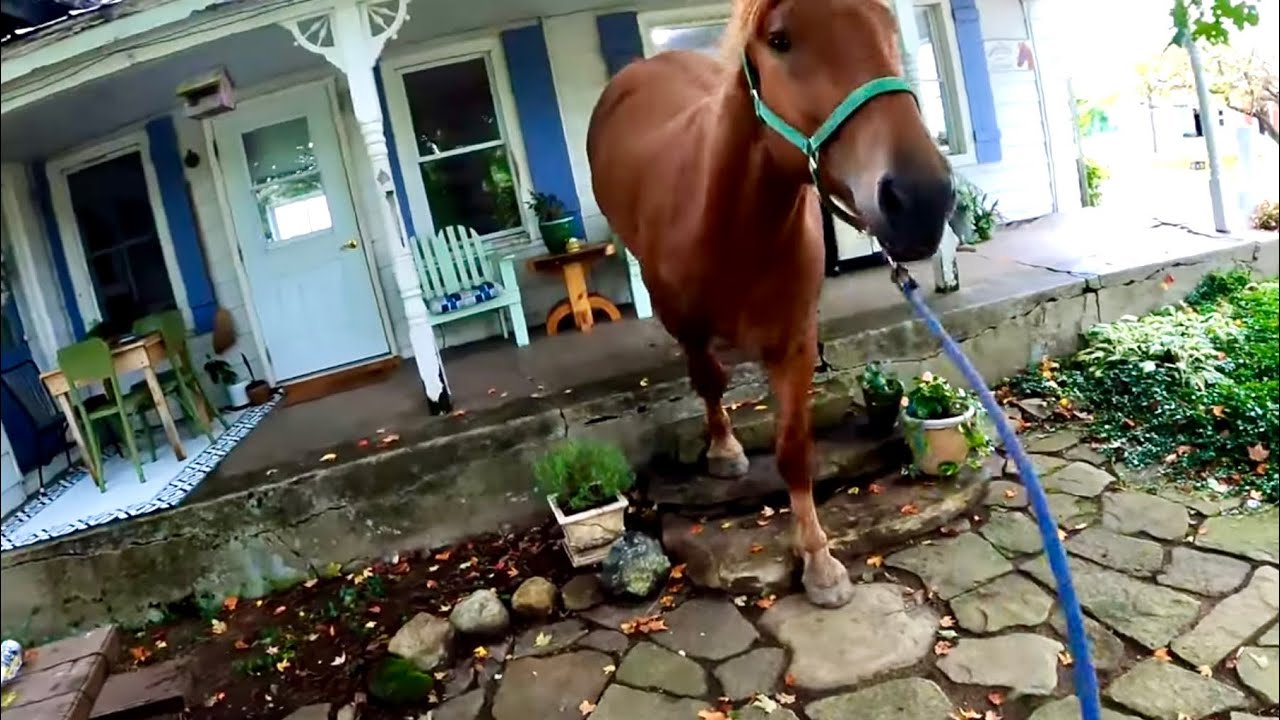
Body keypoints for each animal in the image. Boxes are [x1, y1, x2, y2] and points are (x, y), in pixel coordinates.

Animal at [586, 0, 955, 607]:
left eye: (888, 22)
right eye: (779, 40)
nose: (922, 198)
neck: (731, 224)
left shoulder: (795, 338)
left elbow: (793, 450)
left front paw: (820, 562)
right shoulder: (685, 325)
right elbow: (710, 381)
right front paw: (724, 453)